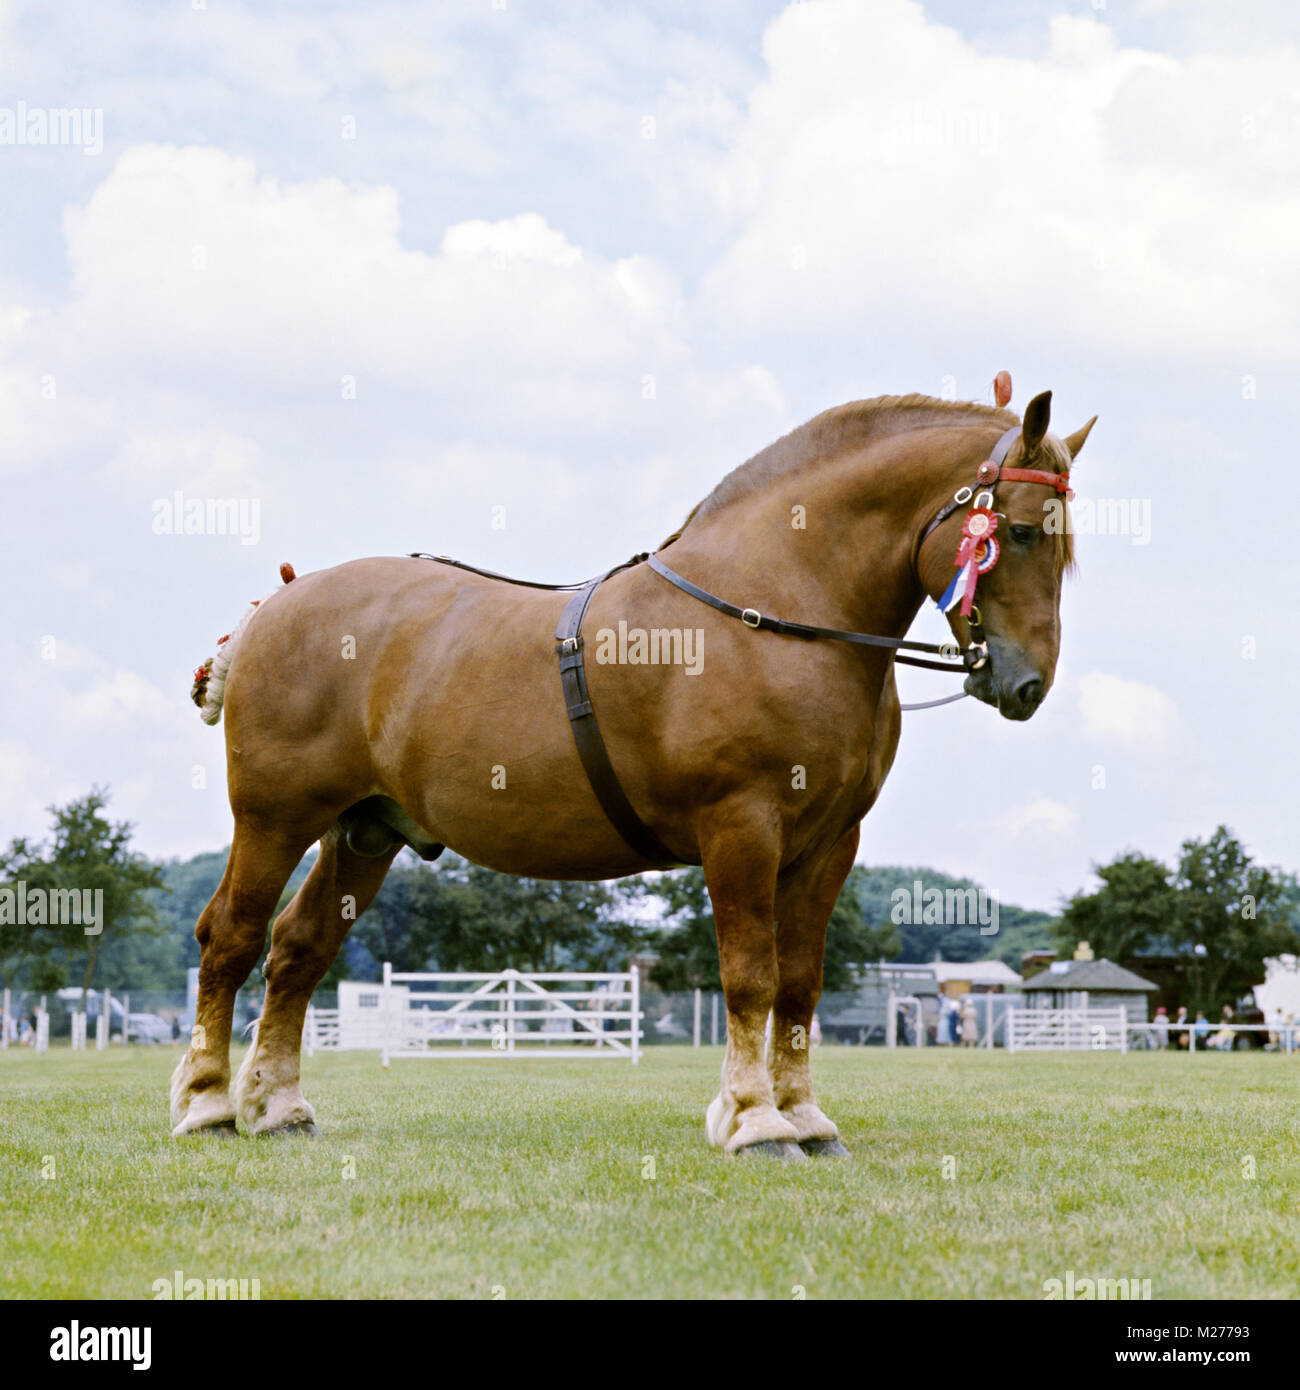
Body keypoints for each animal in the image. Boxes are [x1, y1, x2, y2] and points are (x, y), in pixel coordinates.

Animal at [170, 388, 1095, 1158]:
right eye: (1017, 531)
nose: (1028, 684)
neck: (774, 610)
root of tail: (277, 606)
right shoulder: (741, 827)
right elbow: (751, 975)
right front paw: (755, 1122)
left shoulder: (829, 845)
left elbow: (799, 986)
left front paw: (805, 1119)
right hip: (275, 820)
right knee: (231, 939)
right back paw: (208, 1105)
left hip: (365, 831)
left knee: (297, 951)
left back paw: (279, 1108)